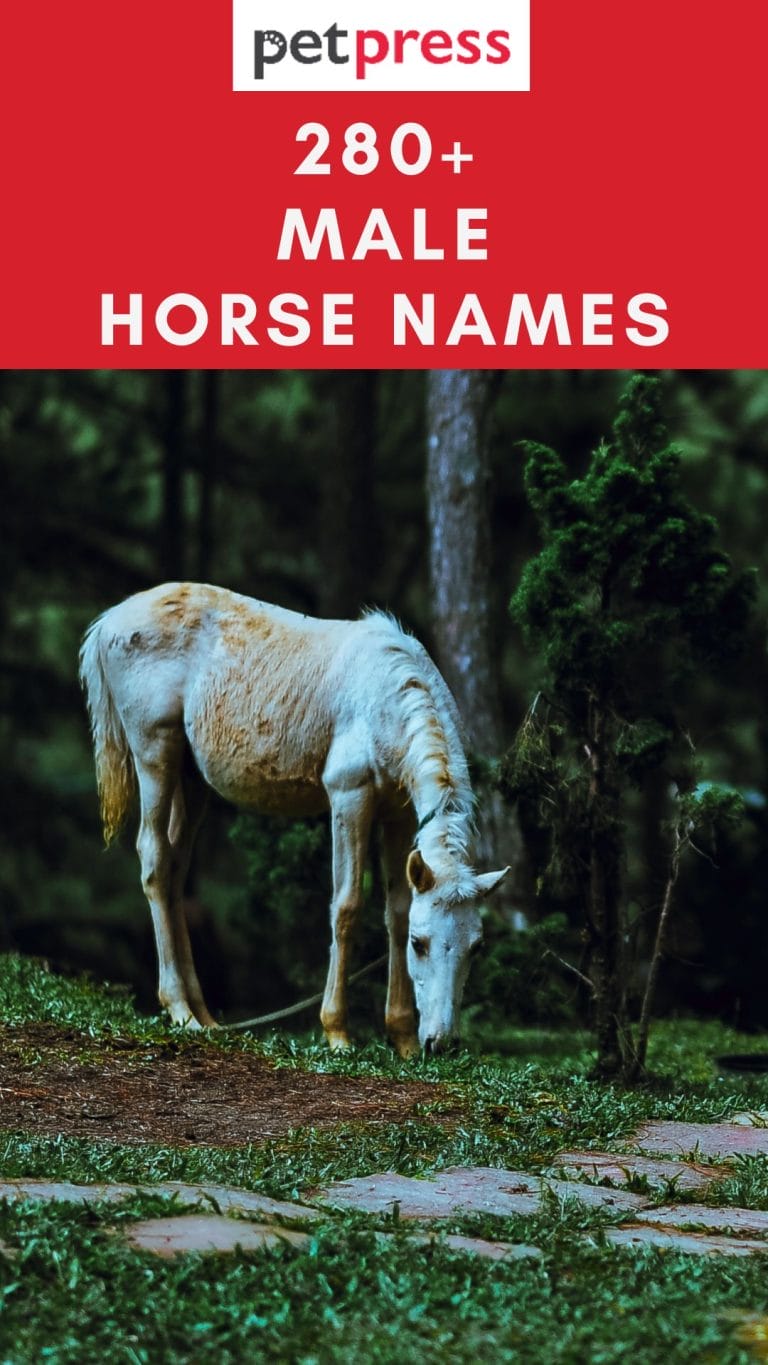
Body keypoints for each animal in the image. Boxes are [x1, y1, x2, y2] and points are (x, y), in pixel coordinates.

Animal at [79, 583, 509, 1055]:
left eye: (477, 946)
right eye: (422, 943)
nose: (440, 1043)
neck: (387, 701)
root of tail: (109, 620)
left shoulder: (397, 815)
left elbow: (395, 911)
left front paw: (402, 1039)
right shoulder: (349, 796)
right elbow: (347, 906)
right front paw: (337, 1032)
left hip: (193, 781)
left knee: (175, 869)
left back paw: (205, 1016)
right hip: (155, 750)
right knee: (154, 858)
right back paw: (179, 1009)